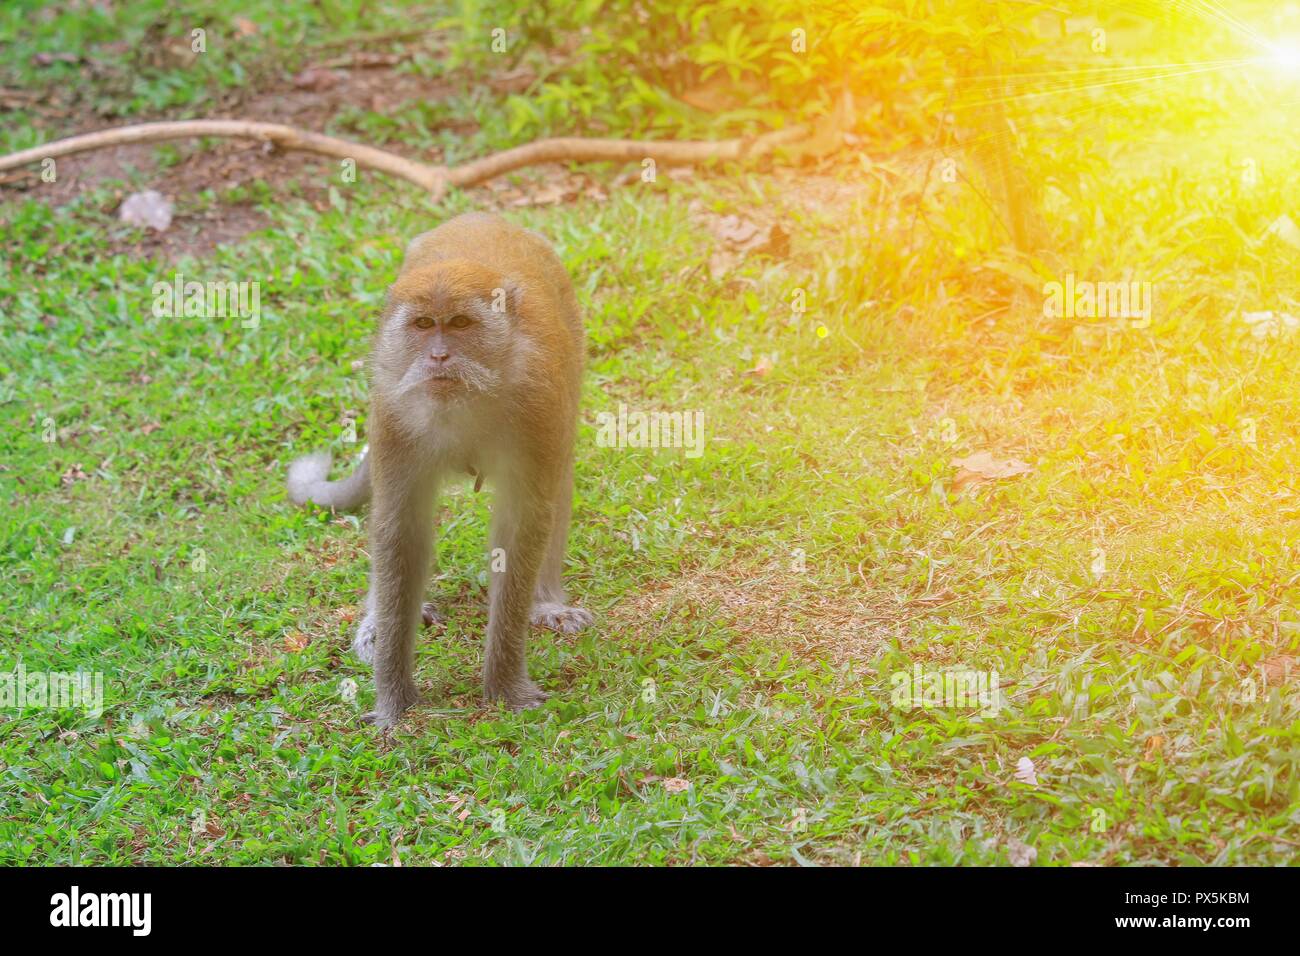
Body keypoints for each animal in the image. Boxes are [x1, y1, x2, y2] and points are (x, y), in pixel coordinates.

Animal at [286, 212, 593, 726]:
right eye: (425, 324)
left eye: (461, 323)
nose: (438, 356)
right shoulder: (393, 413)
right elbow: (399, 533)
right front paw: (395, 701)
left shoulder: (540, 405)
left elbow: (520, 529)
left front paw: (504, 685)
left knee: (560, 477)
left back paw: (545, 599)